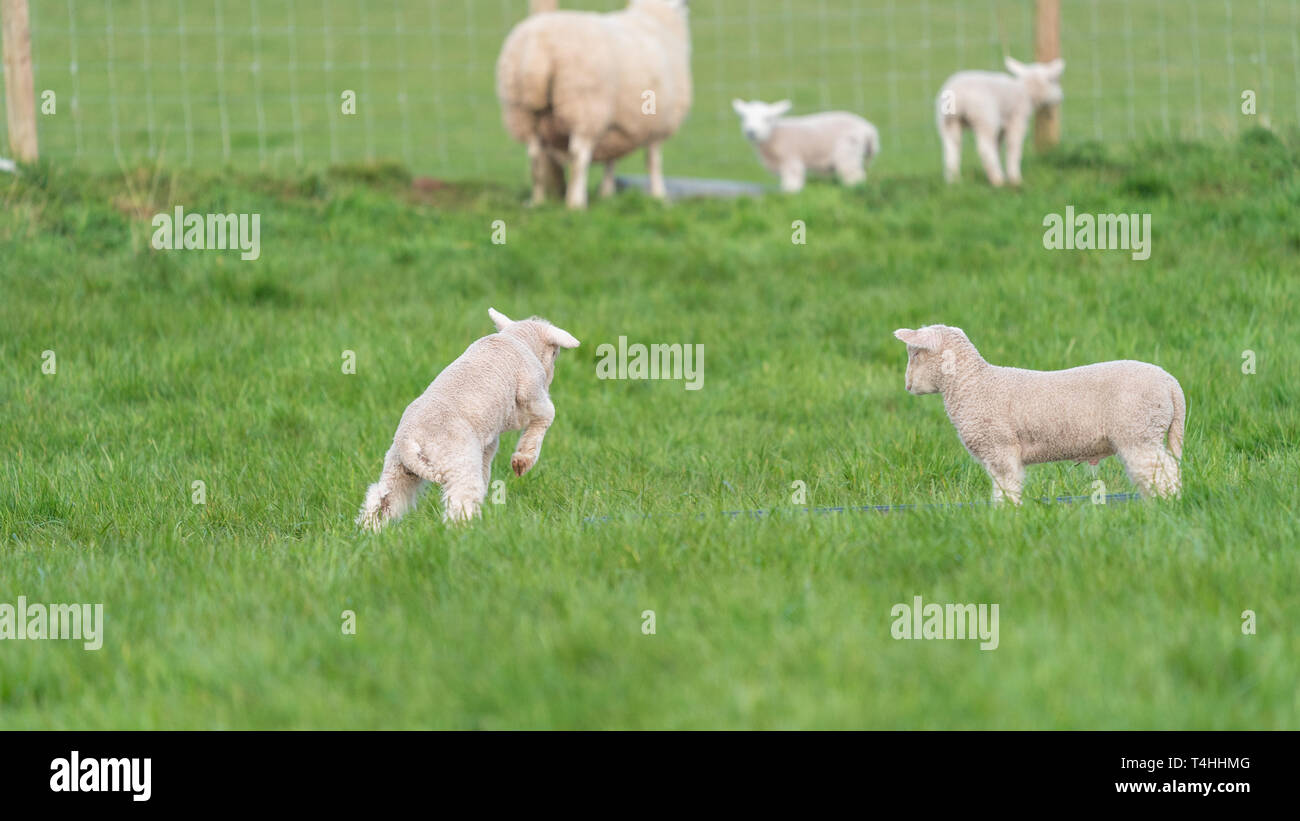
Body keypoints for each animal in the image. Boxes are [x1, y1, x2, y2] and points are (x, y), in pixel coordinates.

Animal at [356, 308, 580, 530]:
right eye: (555, 353)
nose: (550, 380)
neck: (518, 338)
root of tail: (407, 440)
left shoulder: (489, 439)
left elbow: (488, 460)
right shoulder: (529, 395)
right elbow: (547, 415)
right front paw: (523, 460)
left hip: (399, 467)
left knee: (382, 498)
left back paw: (370, 530)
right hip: (458, 461)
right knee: (460, 502)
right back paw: (468, 530)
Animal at [495, 0, 692, 209]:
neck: (656, 18)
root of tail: (538, 48)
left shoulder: (616, 124)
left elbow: (612, 158)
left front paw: (607, 194)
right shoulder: (658, 122)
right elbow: (653, 161)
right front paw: (659, 196)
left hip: (523, 111)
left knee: (535, 154)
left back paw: (538, 201)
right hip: (584, 105)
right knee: (578, 155)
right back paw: (576, 203)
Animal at [730, 99, 880, 192]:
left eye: (767, 118)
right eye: (743, 118)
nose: (751, 132)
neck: (774, 134)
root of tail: (869, 130)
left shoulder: (790, 159)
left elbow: (791, 183)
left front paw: (790, 194)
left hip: (847, 152)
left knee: (855, 177)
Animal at [893, 325, 1185, 504]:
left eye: (915, 354)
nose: (907, 386)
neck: (973, 384)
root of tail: (1171, 384)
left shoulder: (1000, 449)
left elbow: (1005, 490)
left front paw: (1005, 517)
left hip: (1139, 431)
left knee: (1164, 472)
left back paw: (1168, 505)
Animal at [935, 56, 1065, 187]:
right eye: (1054, 81)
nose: (1060, 97)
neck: (1026, 92)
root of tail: (959, 94)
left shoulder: (1002, 127)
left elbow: (997, 147)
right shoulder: (1017, 120)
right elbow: (1013, 147)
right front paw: (1015, 178)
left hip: (948, 122)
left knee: (952, 147)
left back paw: (954, 180)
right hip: (985, 118)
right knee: (985, 148)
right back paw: (997, 179)